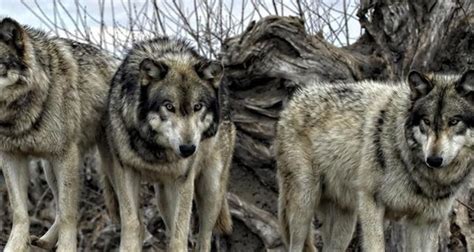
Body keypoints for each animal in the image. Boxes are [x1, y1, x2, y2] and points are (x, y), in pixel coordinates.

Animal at [0, 16, 116, 251]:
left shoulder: (65, 157)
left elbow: (68, 215)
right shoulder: (11, 156)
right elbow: (20, 212)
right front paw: (14, 246)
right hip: (49, 168)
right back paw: (44, 241)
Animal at [276, 69, 472, 252]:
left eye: (454, 121)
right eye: (427, 121)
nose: (434, 160)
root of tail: (293, 102)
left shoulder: (426, 221)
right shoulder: (371, 203)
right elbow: (376, 246)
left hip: (345, 224)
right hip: (304, 206)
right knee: (295, 245)